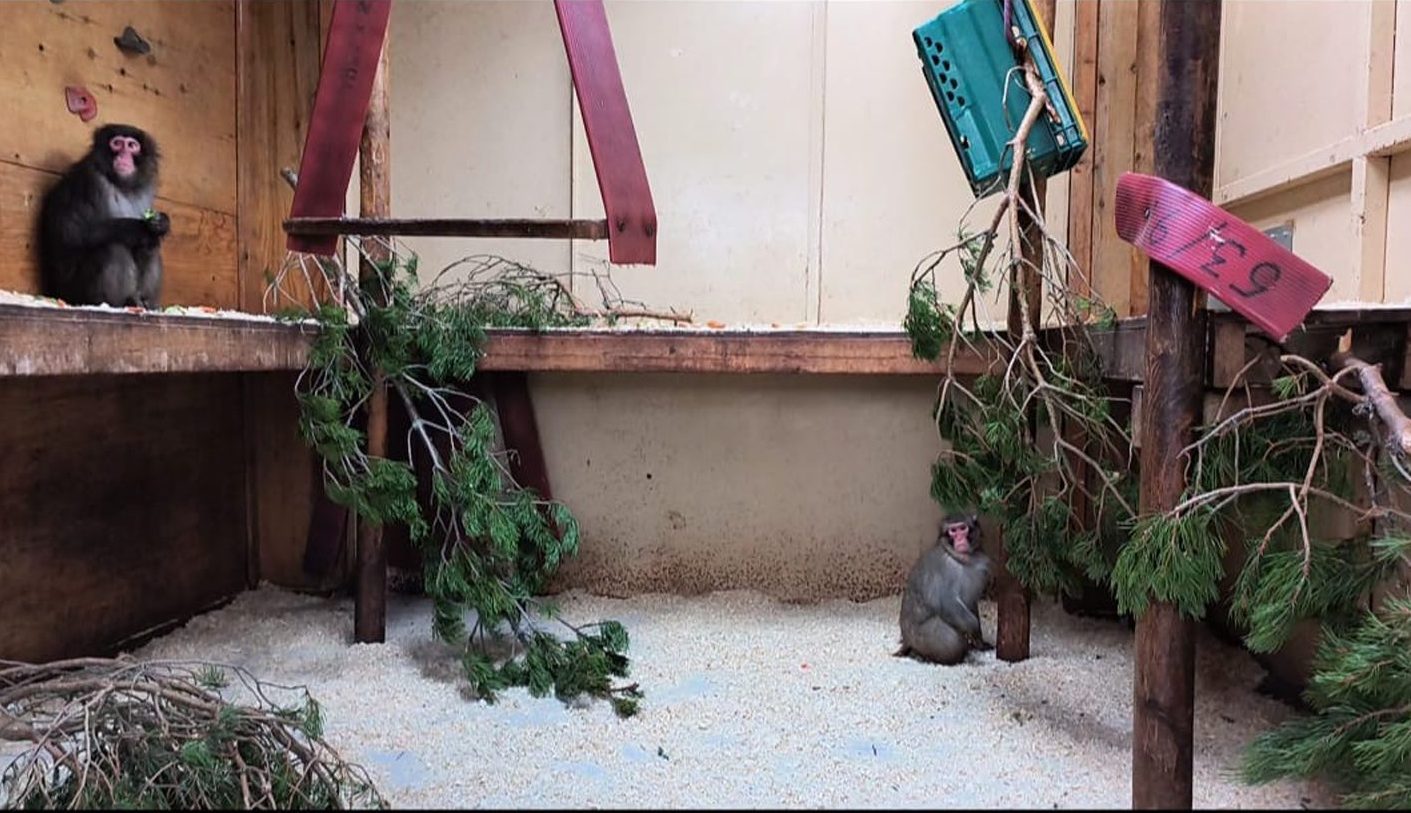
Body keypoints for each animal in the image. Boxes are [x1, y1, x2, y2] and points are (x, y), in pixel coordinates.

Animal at [37, 123, 169, 309]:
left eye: (132, 146)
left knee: (150, 247)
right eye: (117, 143)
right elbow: (72, 234)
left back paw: (144, 301)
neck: (120, 184)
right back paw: (118, 302)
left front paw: (162, 222)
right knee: (113, 246)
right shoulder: (90, 179)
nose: (123, 156)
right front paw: (139, 229)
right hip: (74, 291)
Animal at [894, 514, 993, 665]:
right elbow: (948, 603)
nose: (959, 539)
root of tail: (907, 639)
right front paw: (974, 630)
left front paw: (979, 642)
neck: (962, 558)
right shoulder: (948, 569)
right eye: (953, 531)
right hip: (923, 638)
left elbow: (972, 604)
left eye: (963, 528)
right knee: (951, 640)